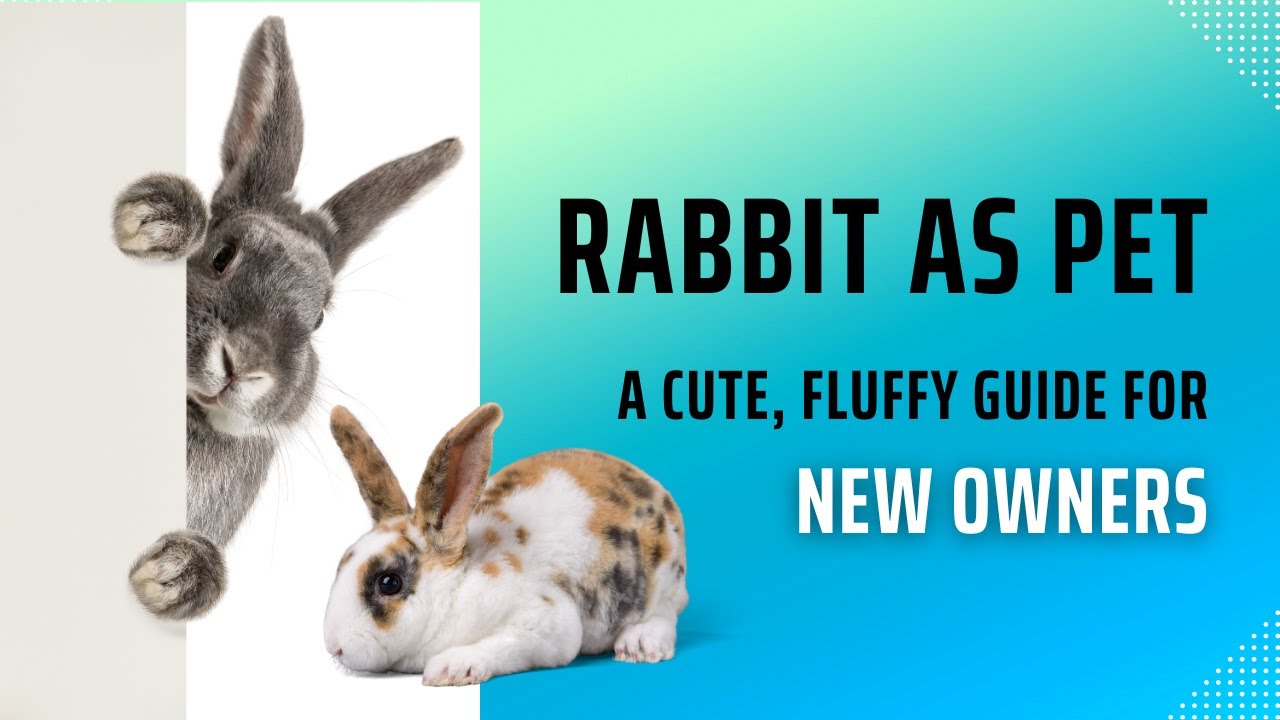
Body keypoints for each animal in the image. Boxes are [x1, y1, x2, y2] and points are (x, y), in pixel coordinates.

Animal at [322, 403, 689, 685]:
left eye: (389, 583)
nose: (333, 646)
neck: (457, 584)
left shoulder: (545, 625)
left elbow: (504, 645)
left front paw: (450, 668)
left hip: (663, 583)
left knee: (666, 614)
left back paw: (639, 645)